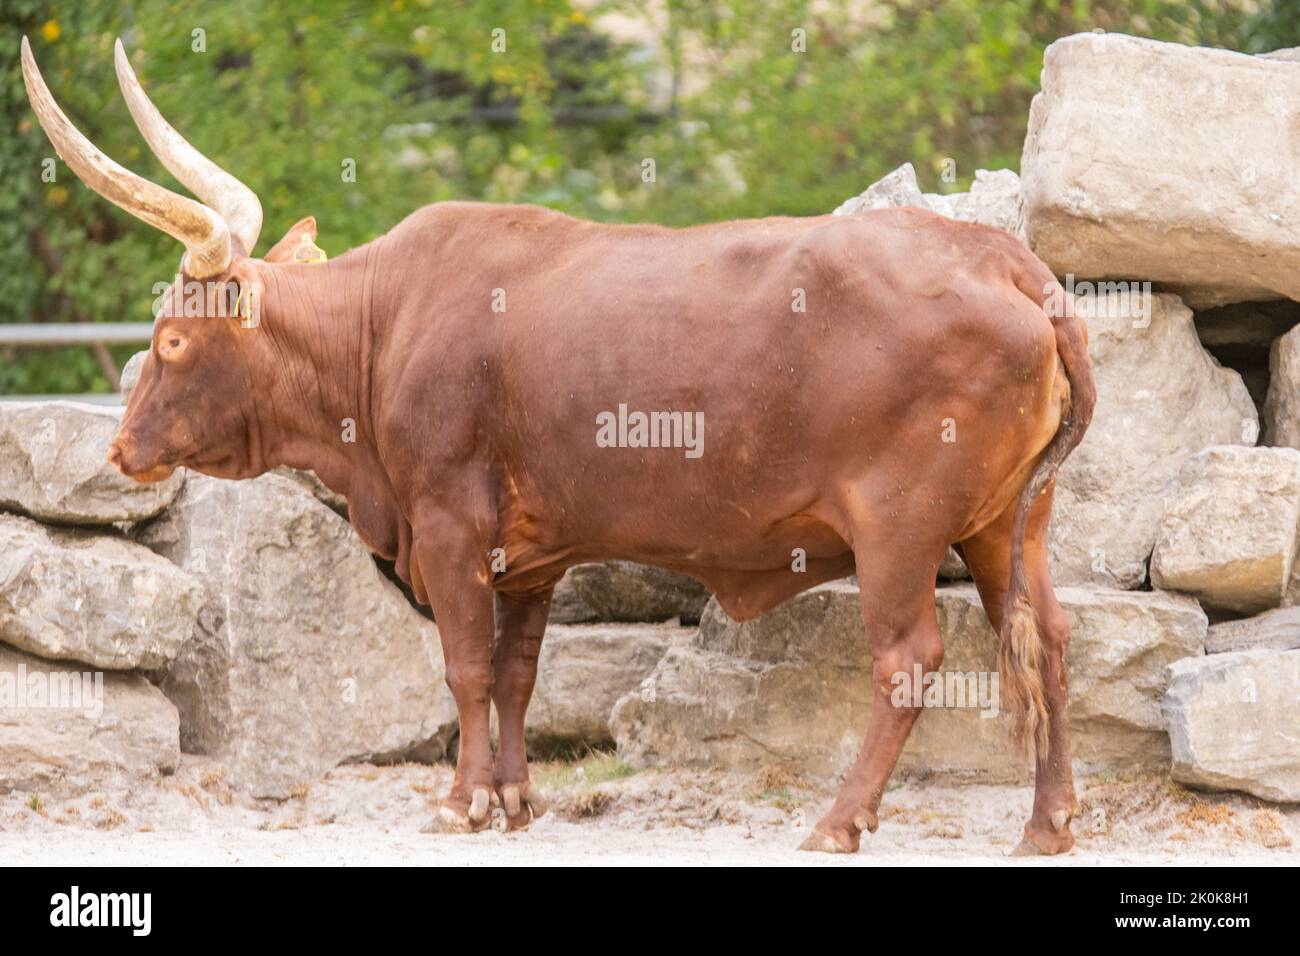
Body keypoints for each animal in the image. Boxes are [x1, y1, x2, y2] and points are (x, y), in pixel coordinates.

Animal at [21, 37, 1095, 855]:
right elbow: (514, 672)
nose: (120, 451)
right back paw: (1046, 825)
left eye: (172, 338)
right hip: (1010, 523)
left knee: (910, 657)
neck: (381, 324)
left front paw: (460, 802)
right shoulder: (532, 553)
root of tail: (1009, 262)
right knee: (1045, 638)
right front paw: (512, 799)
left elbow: (462, 665)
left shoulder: (449, 522)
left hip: (900, 528)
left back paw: (839, 821)